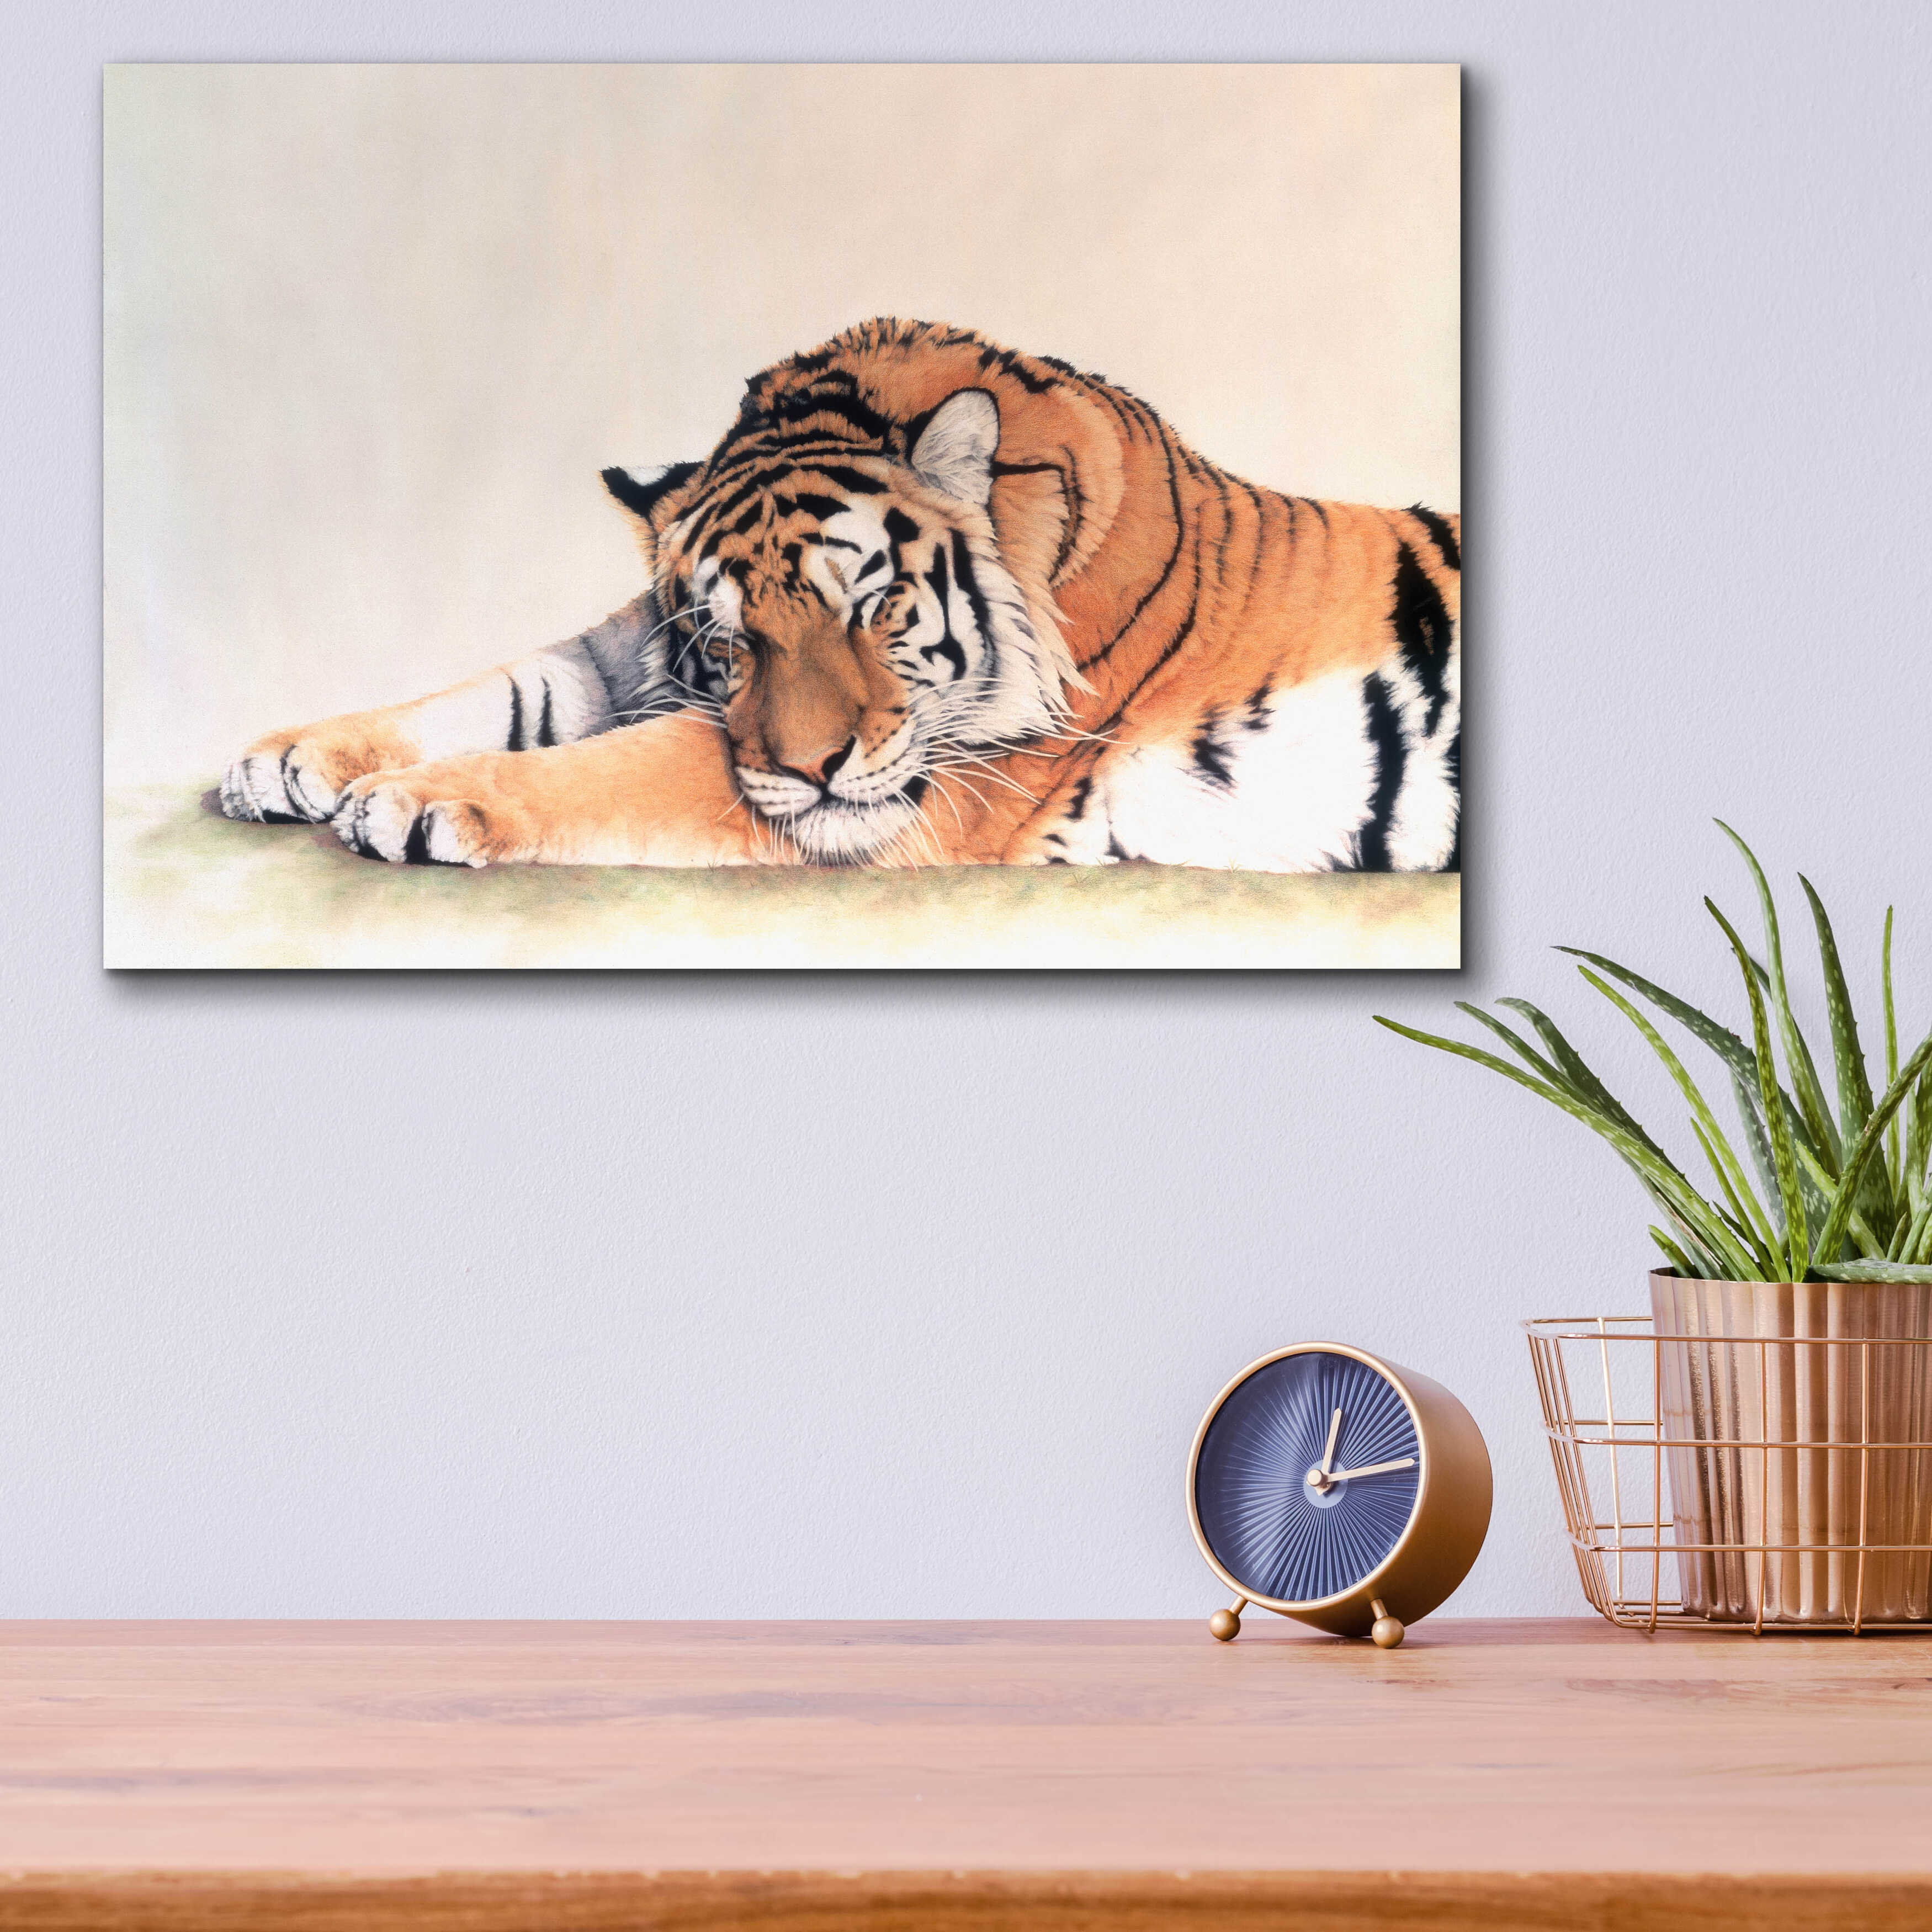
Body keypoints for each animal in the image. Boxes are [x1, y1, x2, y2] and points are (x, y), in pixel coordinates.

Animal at [220, 319, 1460, 874]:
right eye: (727, 643)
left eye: (870, 607)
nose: (815, 767)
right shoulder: (632, 652)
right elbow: (501, 689)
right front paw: (282, 761)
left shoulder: (928, 790)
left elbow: (625, 763)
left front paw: (413, 802)